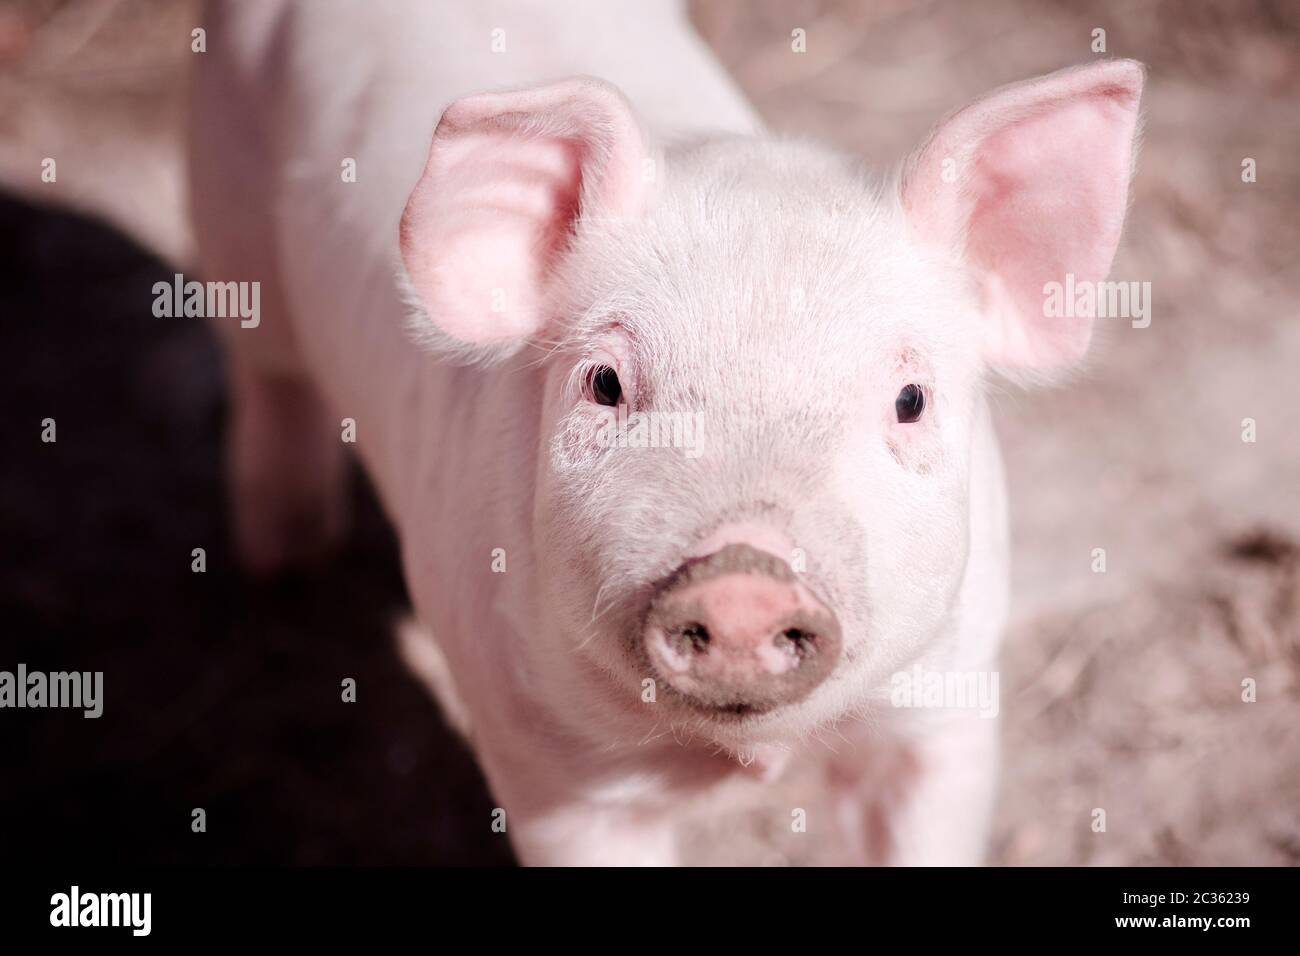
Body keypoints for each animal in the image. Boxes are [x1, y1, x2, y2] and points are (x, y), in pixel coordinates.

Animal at [189, 0, 1144, 865]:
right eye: (606, 384)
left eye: (910, 399)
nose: (746, 580)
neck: (744, 760)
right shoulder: (550, 766)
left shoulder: (944, 711)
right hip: (228, 206)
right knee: (265, 374)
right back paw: (283, 561)